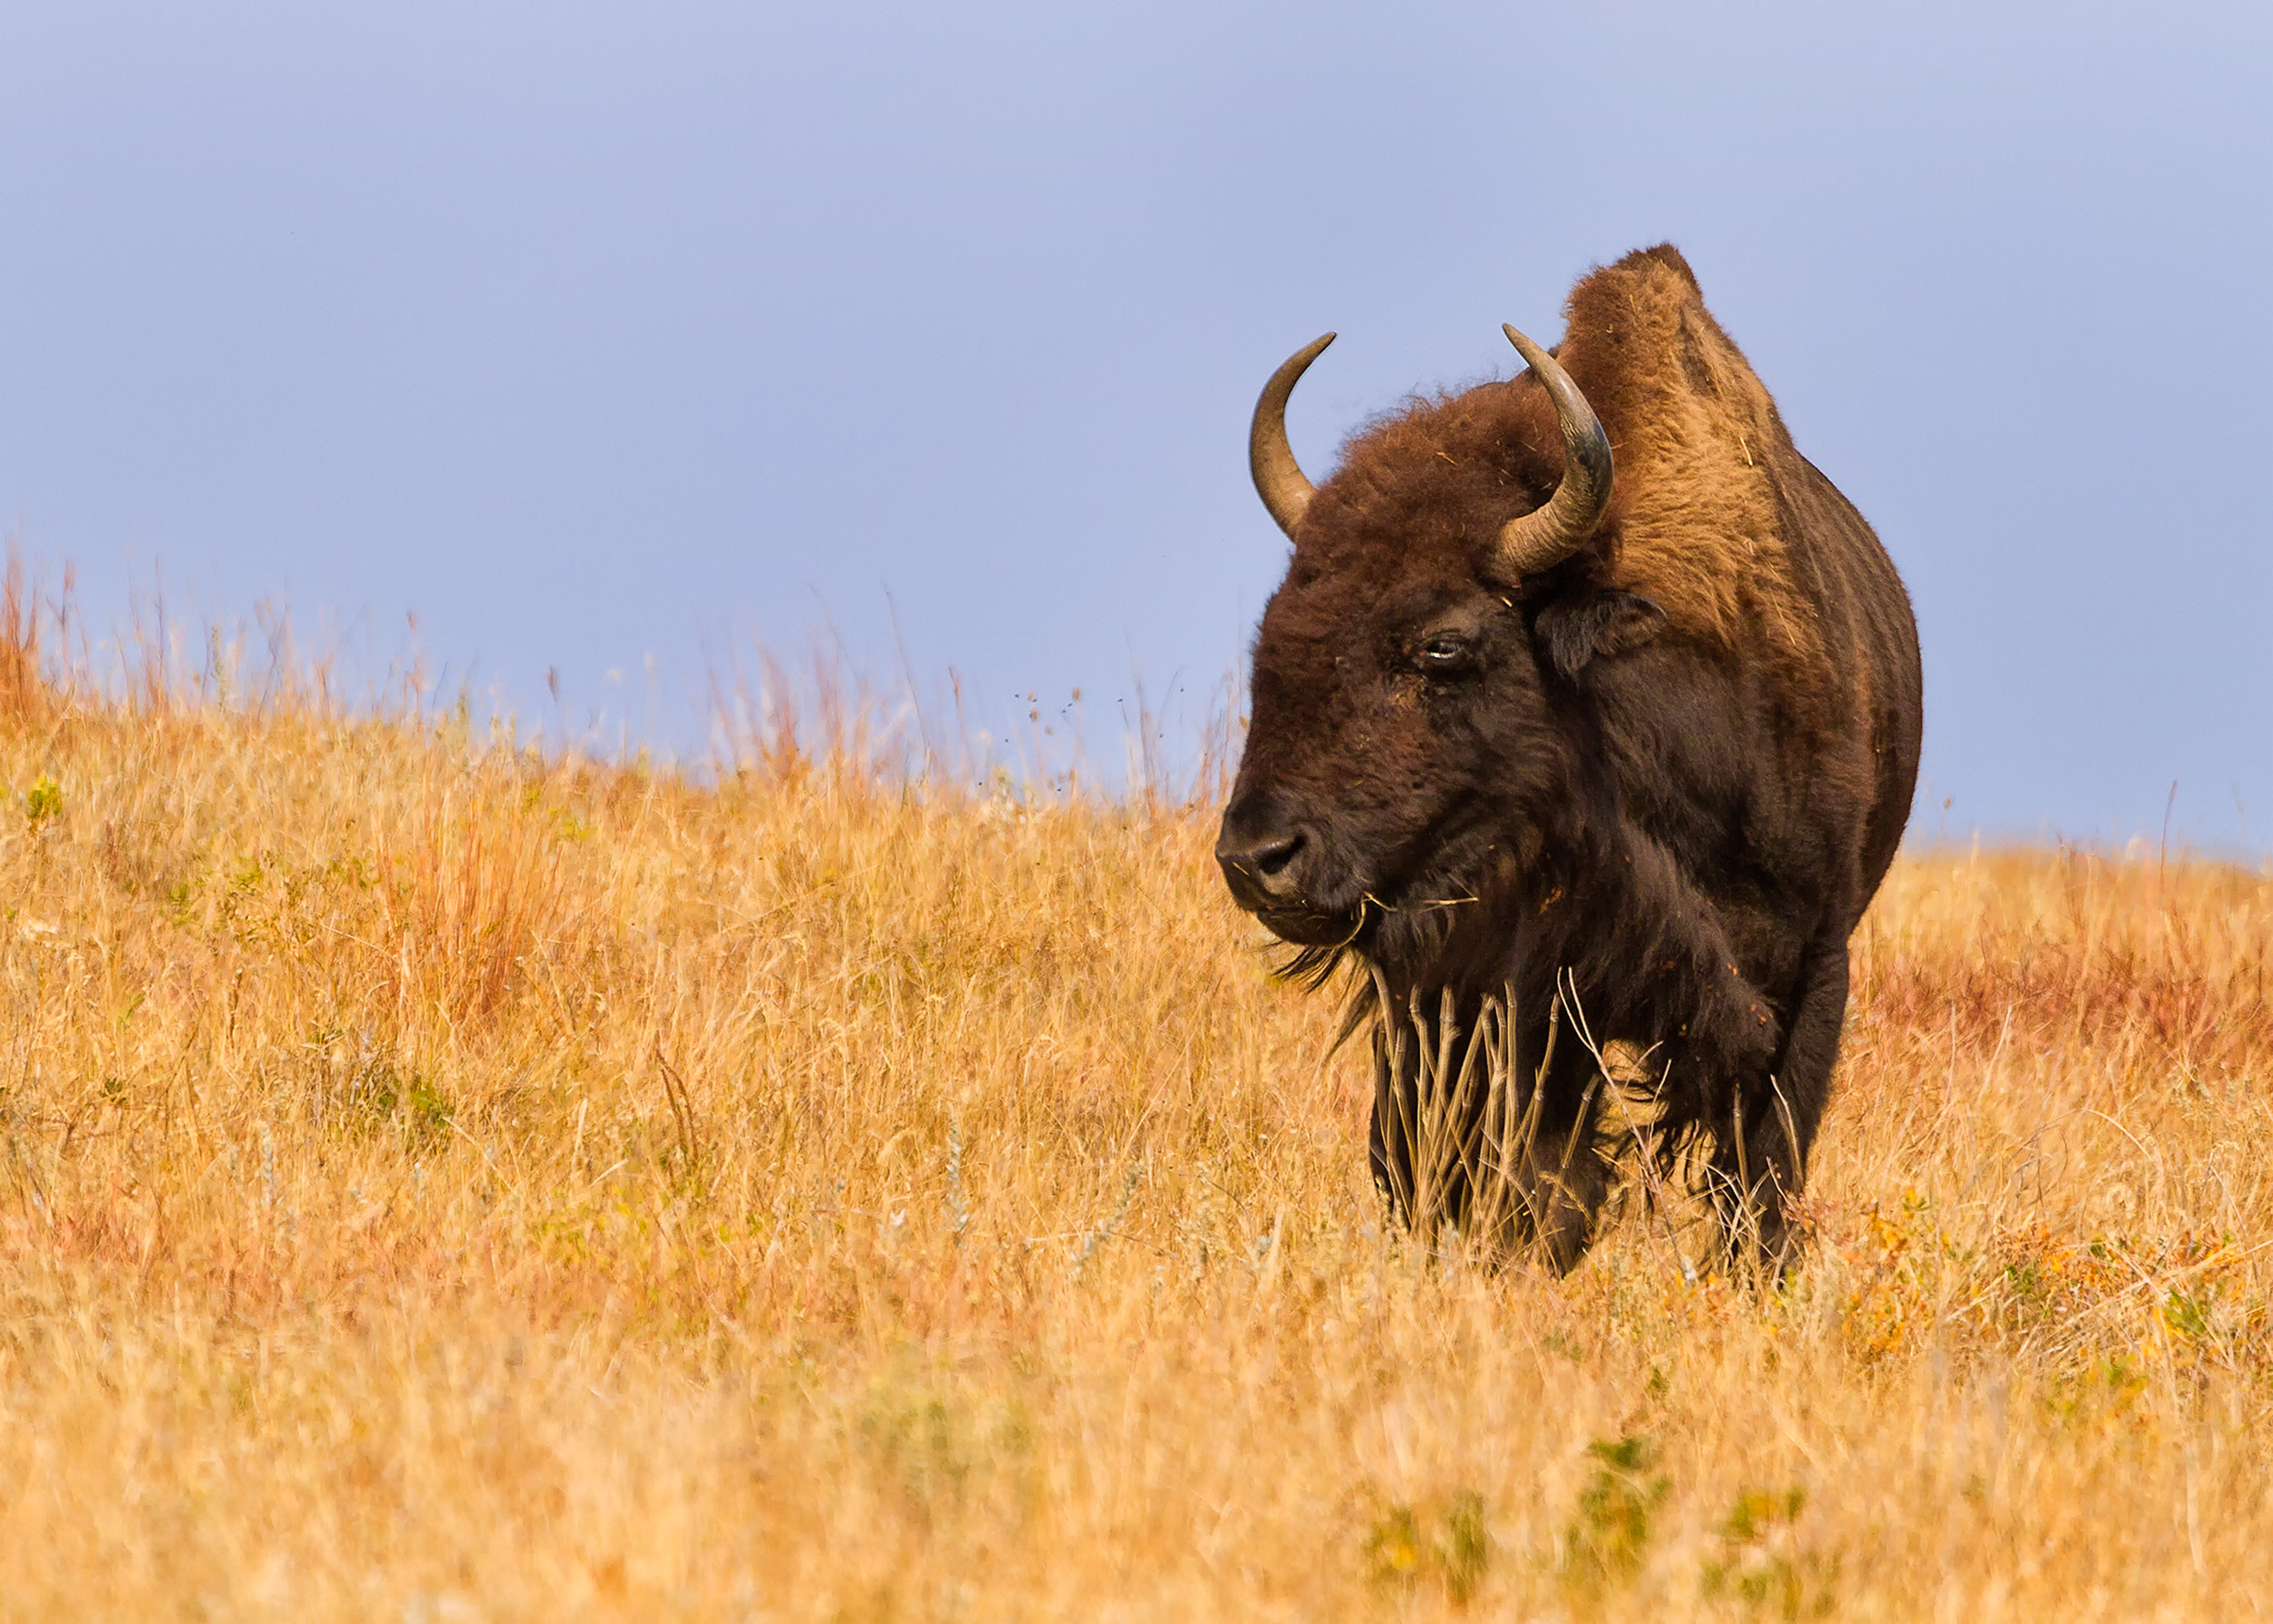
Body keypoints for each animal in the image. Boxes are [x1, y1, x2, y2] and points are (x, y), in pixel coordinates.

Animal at [1215, 245, 1922, 1270]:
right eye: (1275, 628)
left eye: (1443, 644)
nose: (1257, 858)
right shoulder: (1508, 999)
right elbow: (1527, 1175)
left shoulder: (1812, 972)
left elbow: (1761, 1181)